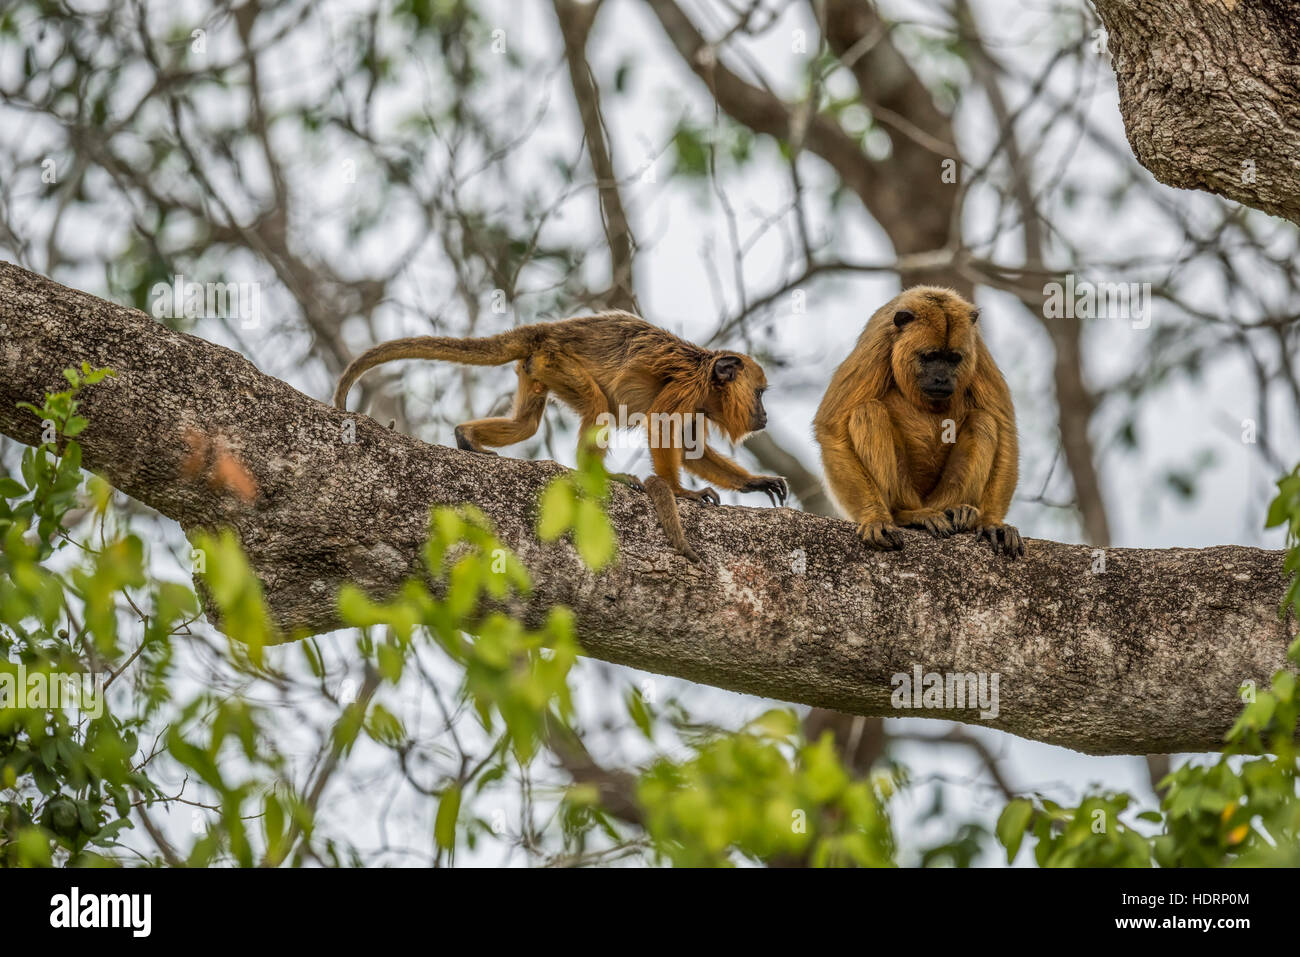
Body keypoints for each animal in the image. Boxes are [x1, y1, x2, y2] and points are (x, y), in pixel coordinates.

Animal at [333, 312, 788, 556]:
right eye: (760, 394)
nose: (765, 414)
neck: (709, 379)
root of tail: (545, 330)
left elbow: (692, 450)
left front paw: (754, 482)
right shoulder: (687, 387)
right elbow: (660, 425)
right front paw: (679, 492)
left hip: (537, 366)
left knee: (527, 424)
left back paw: (466, 437)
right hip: (559, 360)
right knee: (598, 407)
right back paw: (600, 475)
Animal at [813, 286, 1023, 557]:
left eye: (953, 359)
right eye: (930, 357)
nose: (942, 379)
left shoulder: (977, 348)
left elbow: (1005, 430)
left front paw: (992, 523)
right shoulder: (878, 342)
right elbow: (832, 426)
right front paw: (875, 518)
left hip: (939, 496)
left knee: (983, 420)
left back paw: (958, 510)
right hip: (907, 493)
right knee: (868, 411)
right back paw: (906, 515)